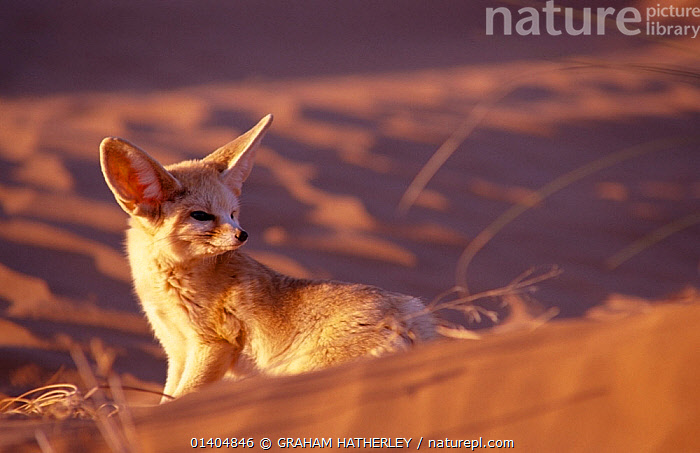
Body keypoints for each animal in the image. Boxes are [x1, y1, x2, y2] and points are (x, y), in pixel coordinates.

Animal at [100, 114, 435, 402]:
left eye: (233, 214)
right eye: (201, 216)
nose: (242, 235)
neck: (170, 281)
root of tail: (410, 315)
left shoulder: (212, 347)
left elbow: (180, 399)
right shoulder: (177, 349)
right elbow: (167, 398)